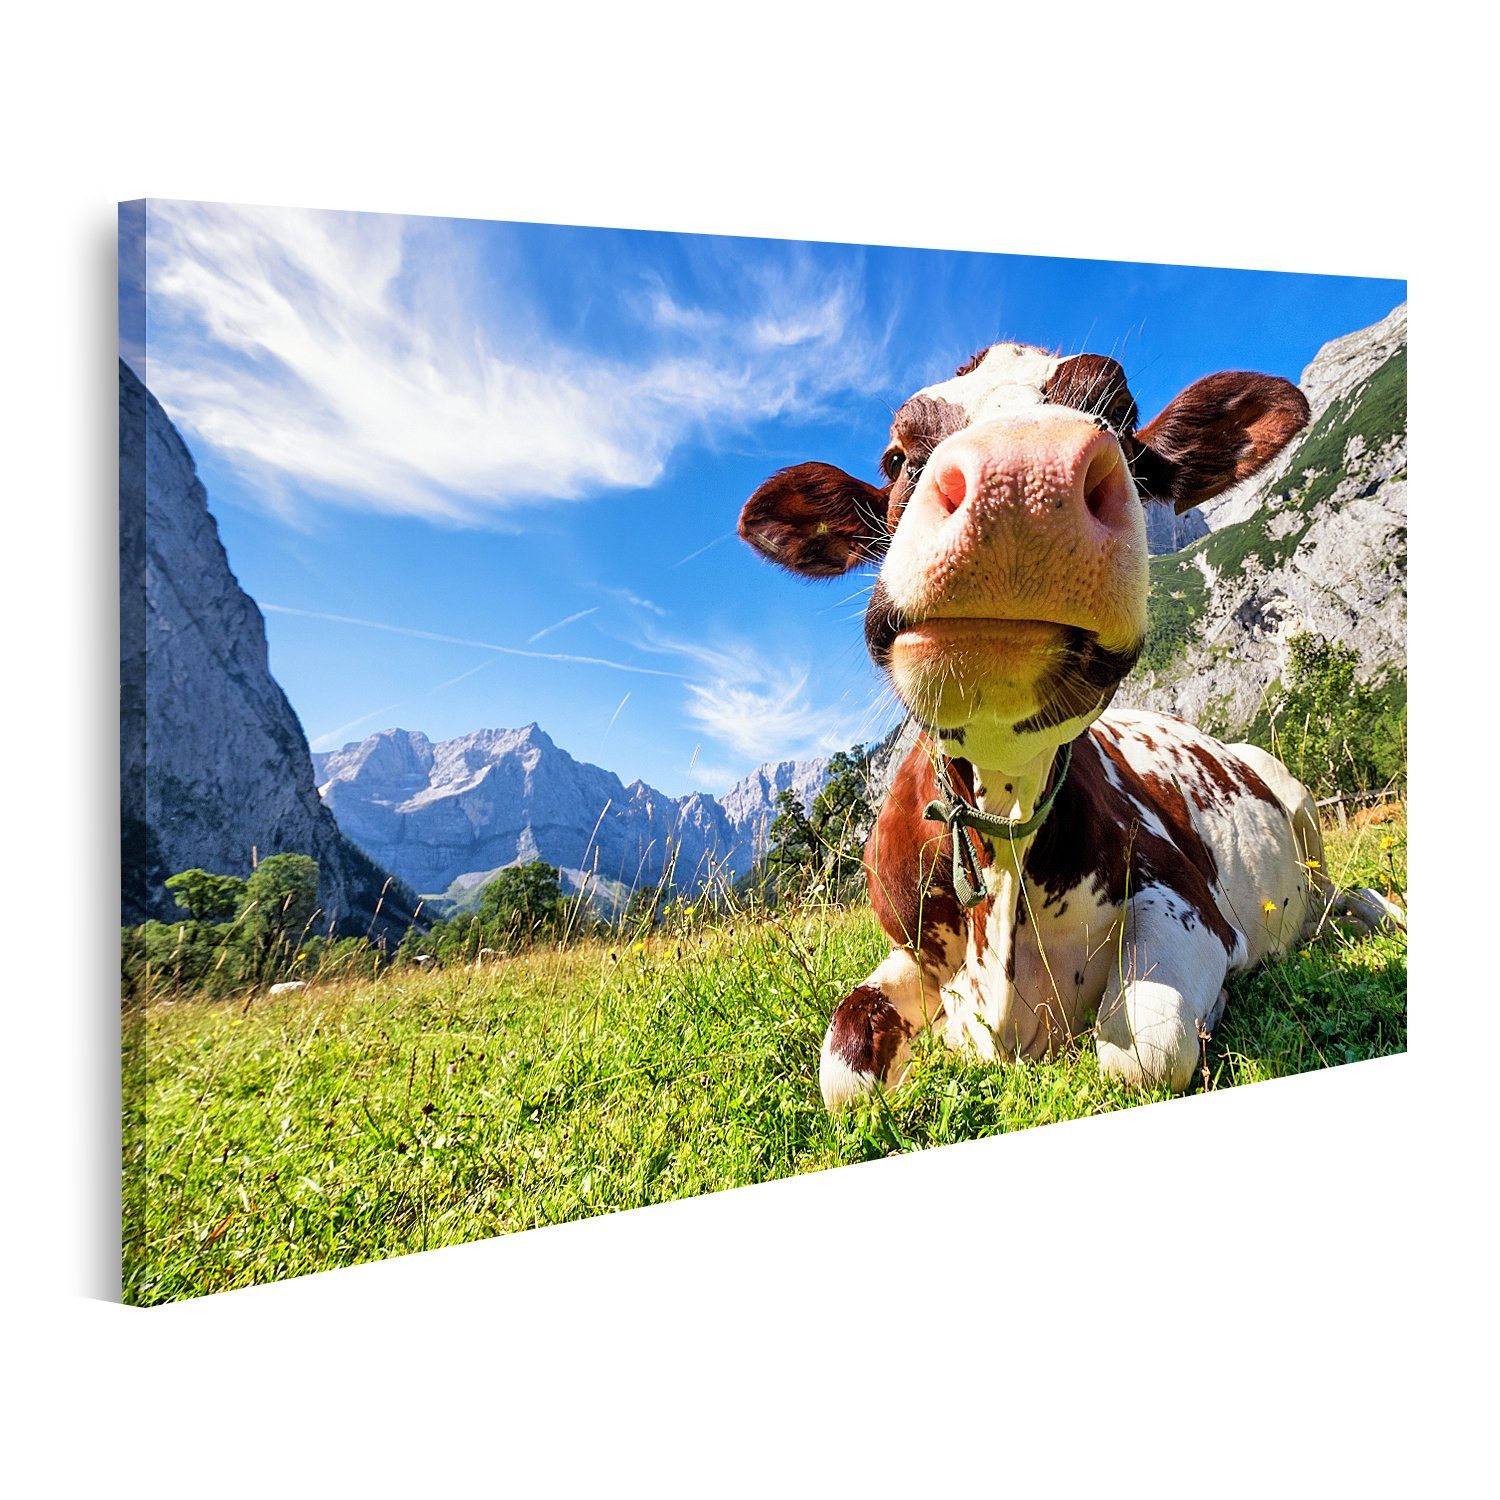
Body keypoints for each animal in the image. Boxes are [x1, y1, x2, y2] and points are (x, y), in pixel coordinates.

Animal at [739, 340, 1398, 1110]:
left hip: (1297, 802)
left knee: (1339, 895)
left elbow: (1144, 1050)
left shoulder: (1192, 904)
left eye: (1122, 417)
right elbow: (843, 1069)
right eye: (897, 456)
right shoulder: (907, 954)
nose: (1022, 476)